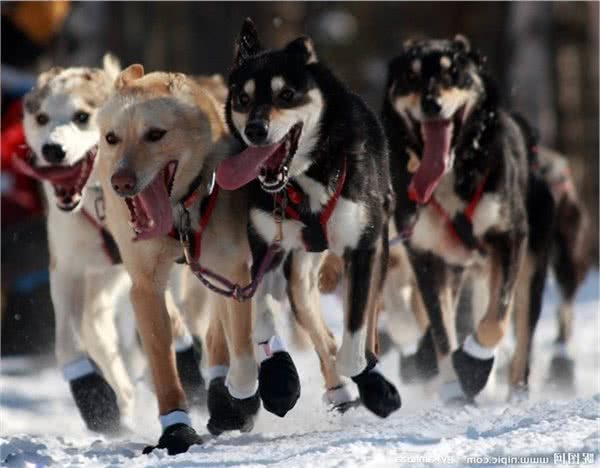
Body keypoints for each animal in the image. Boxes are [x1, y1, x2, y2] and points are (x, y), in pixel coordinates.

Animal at [19, 56, 203, 434]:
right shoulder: (68, 270)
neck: (98, 203)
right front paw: (92, 394)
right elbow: (67, 341)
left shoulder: (149, 266)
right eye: (42, 118)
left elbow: (172, 324)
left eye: (82, 116)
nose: (52, 149)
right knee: (98, 332)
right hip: (100, 288)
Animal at [96, 66, 260, 454]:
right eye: (111, 138)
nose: (120, 181)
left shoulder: (235, 272)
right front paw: (177, 430)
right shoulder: (145, 287)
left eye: (155, 134)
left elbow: (242, 344)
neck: (179, 216)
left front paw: (242, 395)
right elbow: (163, 366)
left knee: (222, 336)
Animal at [216, 20, 398, 418]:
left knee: (364, 330)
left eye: (286, 94)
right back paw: (335, 387)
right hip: (300, 273)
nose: (255, 129)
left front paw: (363, 372)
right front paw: (273, 375)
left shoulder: (363, 249)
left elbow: (355, 333)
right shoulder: (266, 247)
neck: (306, 179)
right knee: (312, 319)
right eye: (243, 99)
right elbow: (262, 314)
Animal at [382, 36, 556, 402]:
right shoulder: (426, 257)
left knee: (522, 335)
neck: (451, 173)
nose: (431, 104)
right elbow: (441, 332)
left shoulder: (509, 239)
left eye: (454, 72)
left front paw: (475, 363)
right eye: (411, 76)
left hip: (531, 269)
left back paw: (516, 394)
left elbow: (495, 320)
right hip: (457, 269)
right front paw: (452, 387)